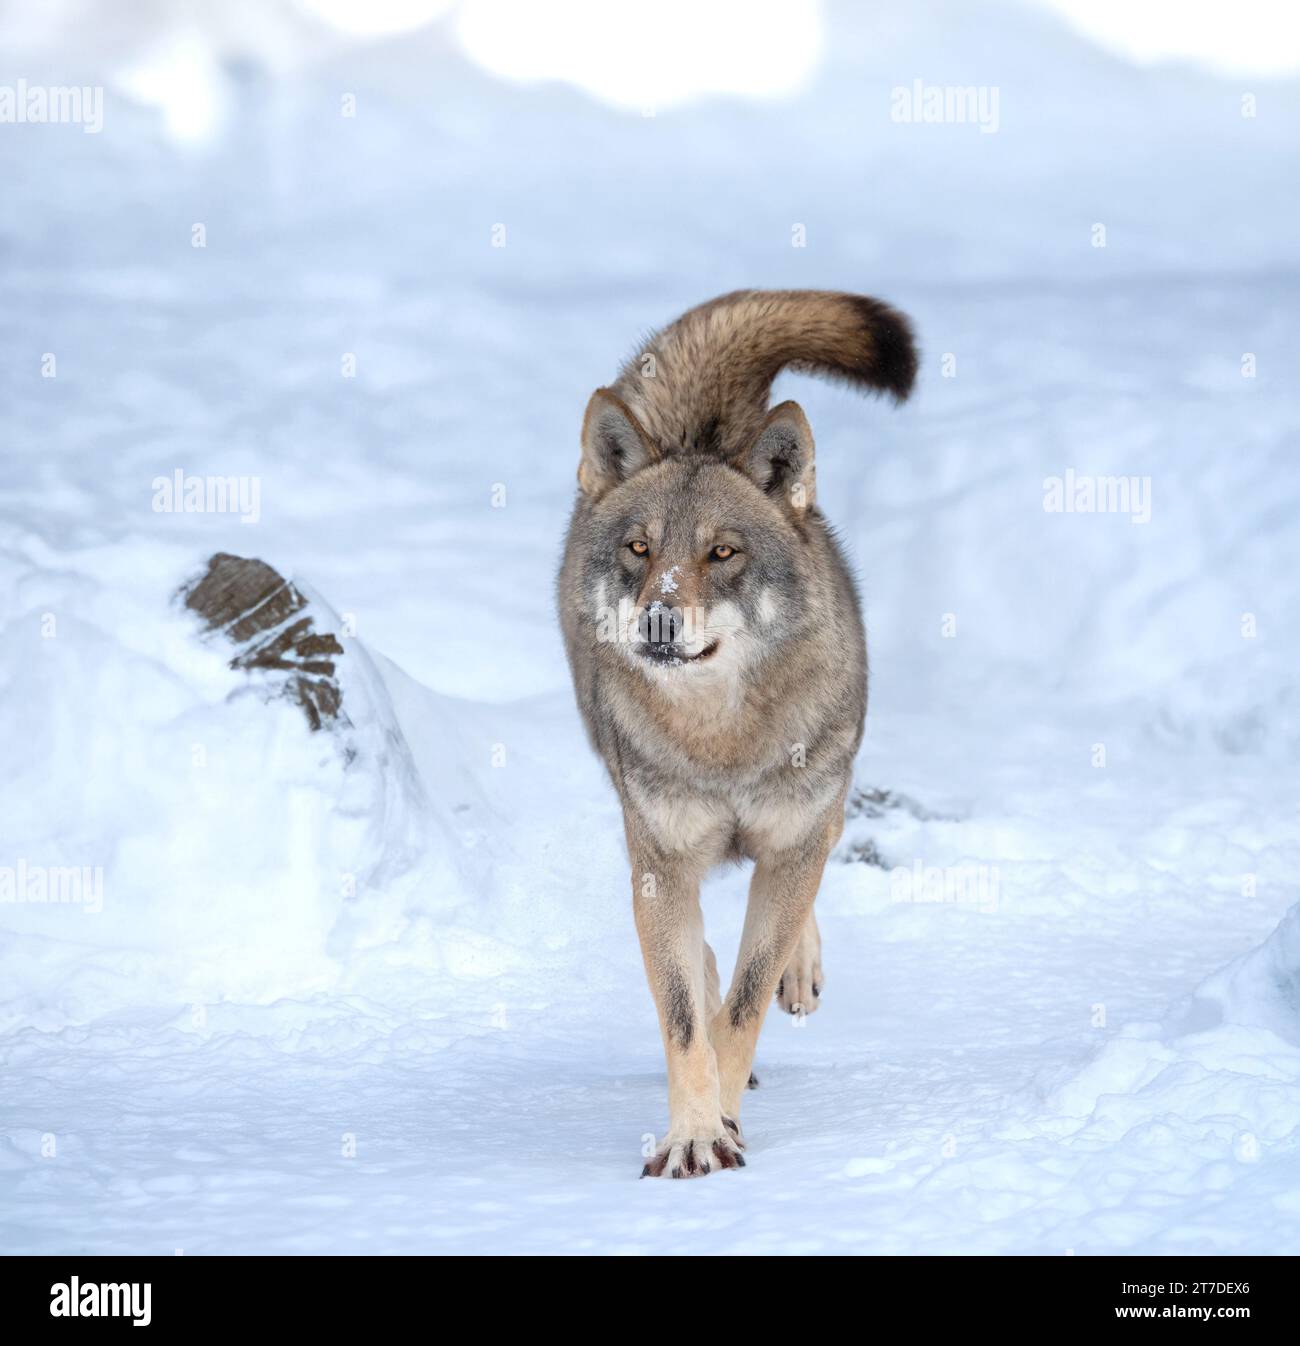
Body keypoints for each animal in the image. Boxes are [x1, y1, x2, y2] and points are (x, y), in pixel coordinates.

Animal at [557, 289, 917, 1177]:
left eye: (721, 552)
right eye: (640, 549)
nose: (658, 618)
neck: (722, 742)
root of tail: (707, 428)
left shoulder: (794, 837)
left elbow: (745, 1003)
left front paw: (718, 1116)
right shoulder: (659, 862)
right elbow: (686, 1014)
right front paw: (692, 1135)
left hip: (820, 805)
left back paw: (801, 972)